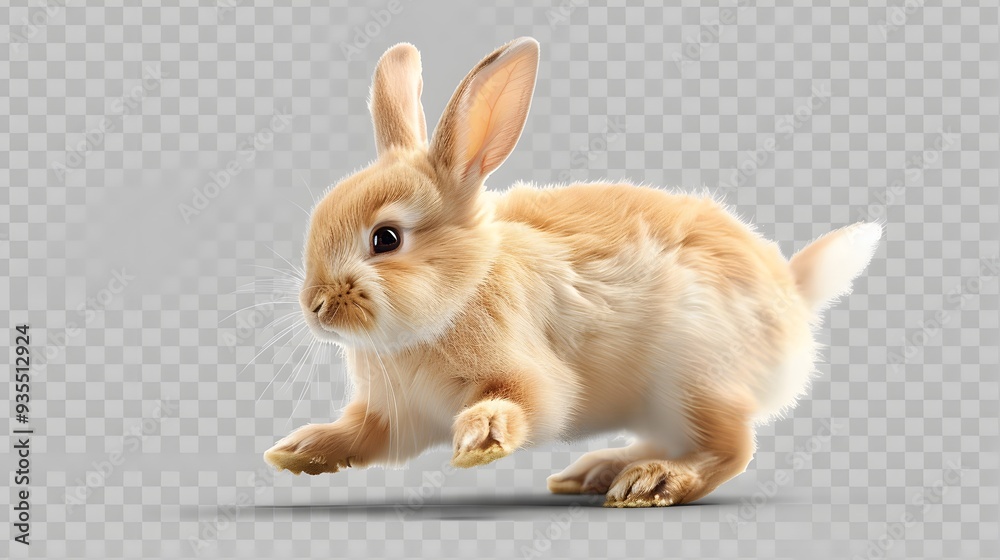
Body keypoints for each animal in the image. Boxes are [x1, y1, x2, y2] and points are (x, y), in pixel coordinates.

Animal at [263, 37, 882, 507]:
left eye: (386, 238)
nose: (315, 305)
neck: (463, 291)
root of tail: (792, 299)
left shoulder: (532, 376)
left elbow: (527, 401)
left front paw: (481, 438)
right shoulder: (398, 417)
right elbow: (362, 435)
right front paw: (299, 449)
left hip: (697, 378)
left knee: (731, 448)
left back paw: (650, 483)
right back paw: (597, 471)